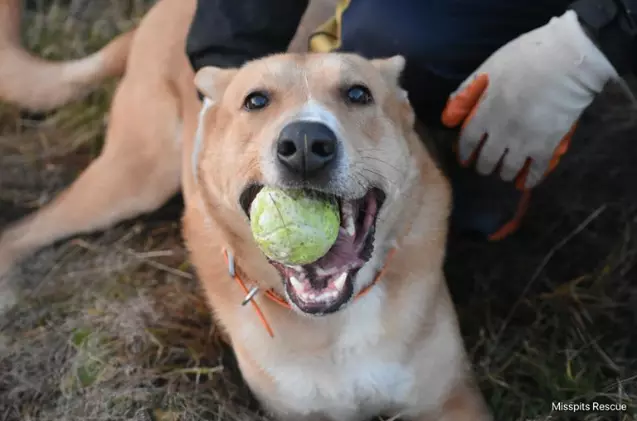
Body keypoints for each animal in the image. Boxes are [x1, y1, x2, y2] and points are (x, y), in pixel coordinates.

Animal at [0, 0, 492, 420]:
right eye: (256, 100)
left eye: (358, 94)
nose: (306, 145)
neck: (332, 326)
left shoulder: (453, 401)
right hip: (133, 176)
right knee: (22, 231)